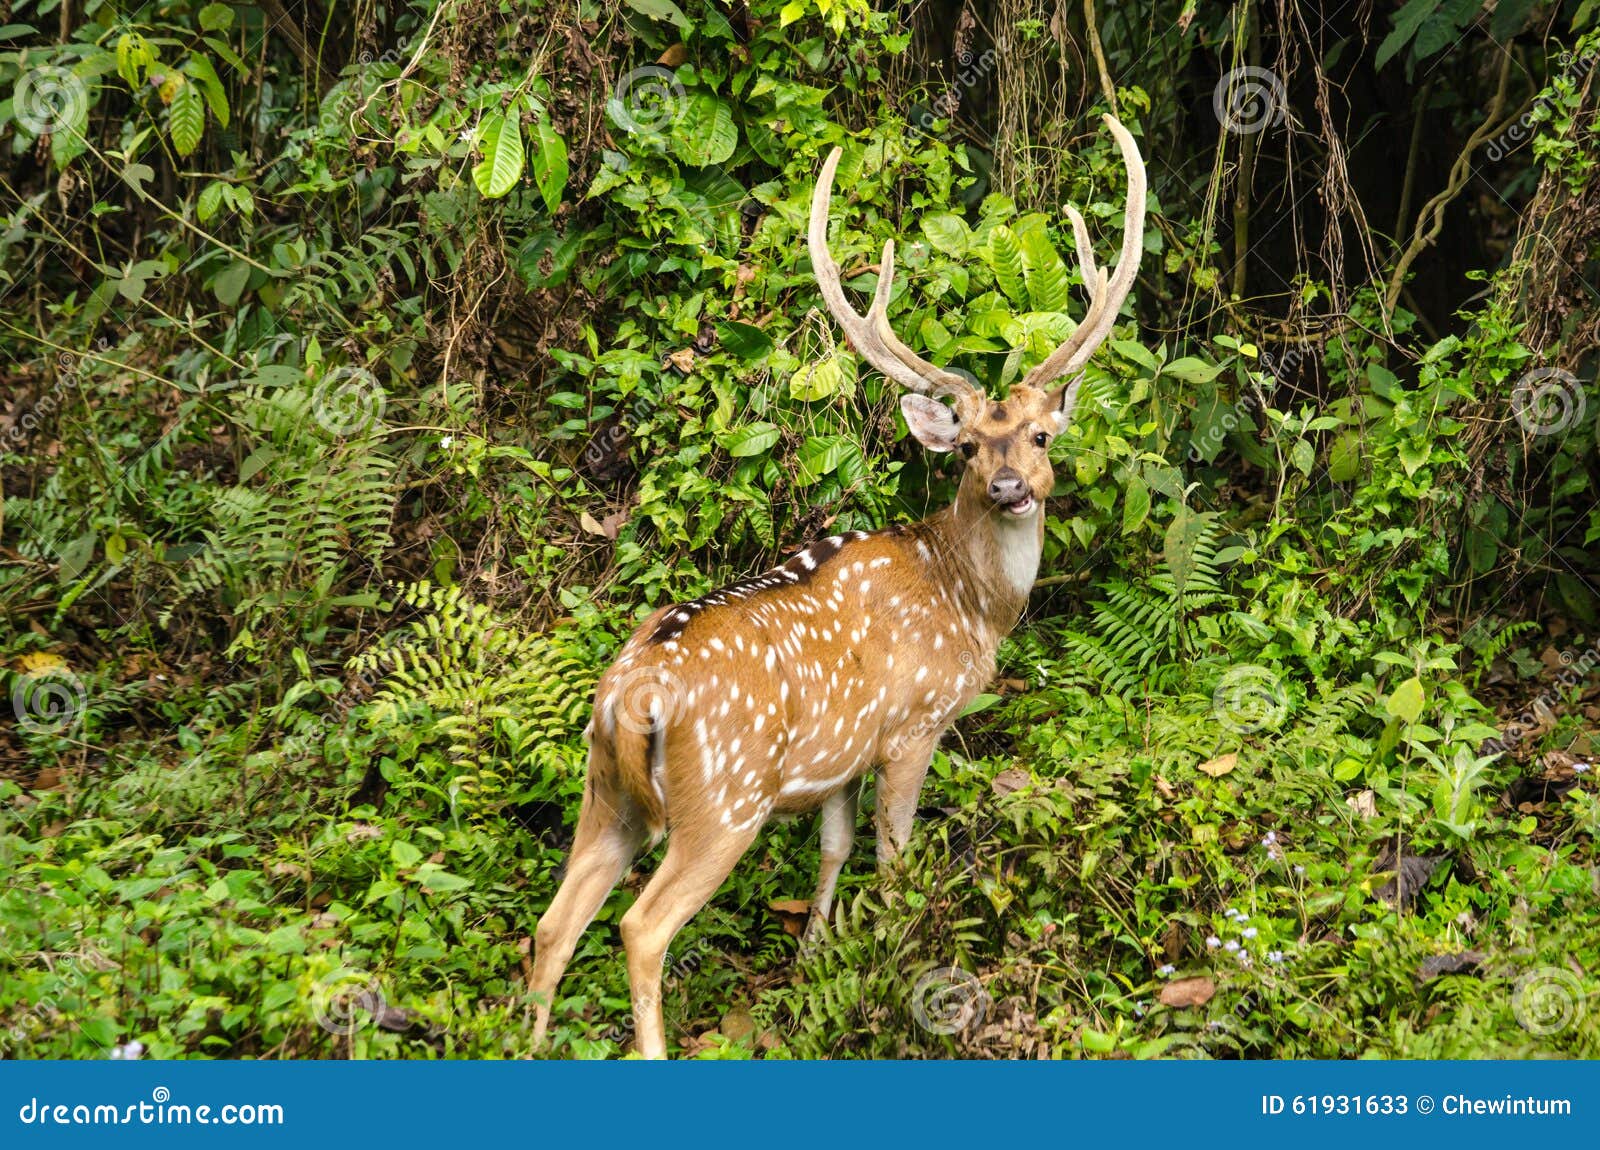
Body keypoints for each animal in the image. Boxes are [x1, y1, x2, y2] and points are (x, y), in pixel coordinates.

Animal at [529, 114, 1146, 1058]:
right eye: (969, 446)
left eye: (1041, 435)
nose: (1010, 487)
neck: (969, 603)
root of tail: (632, 696)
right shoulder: (913, 723)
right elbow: (892, 857)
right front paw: (893, 965)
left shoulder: (839, 760)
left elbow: (833, 847)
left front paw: (816, 958)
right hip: (723, 800)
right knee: (640, 928)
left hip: (603, 791)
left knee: (553, 927)